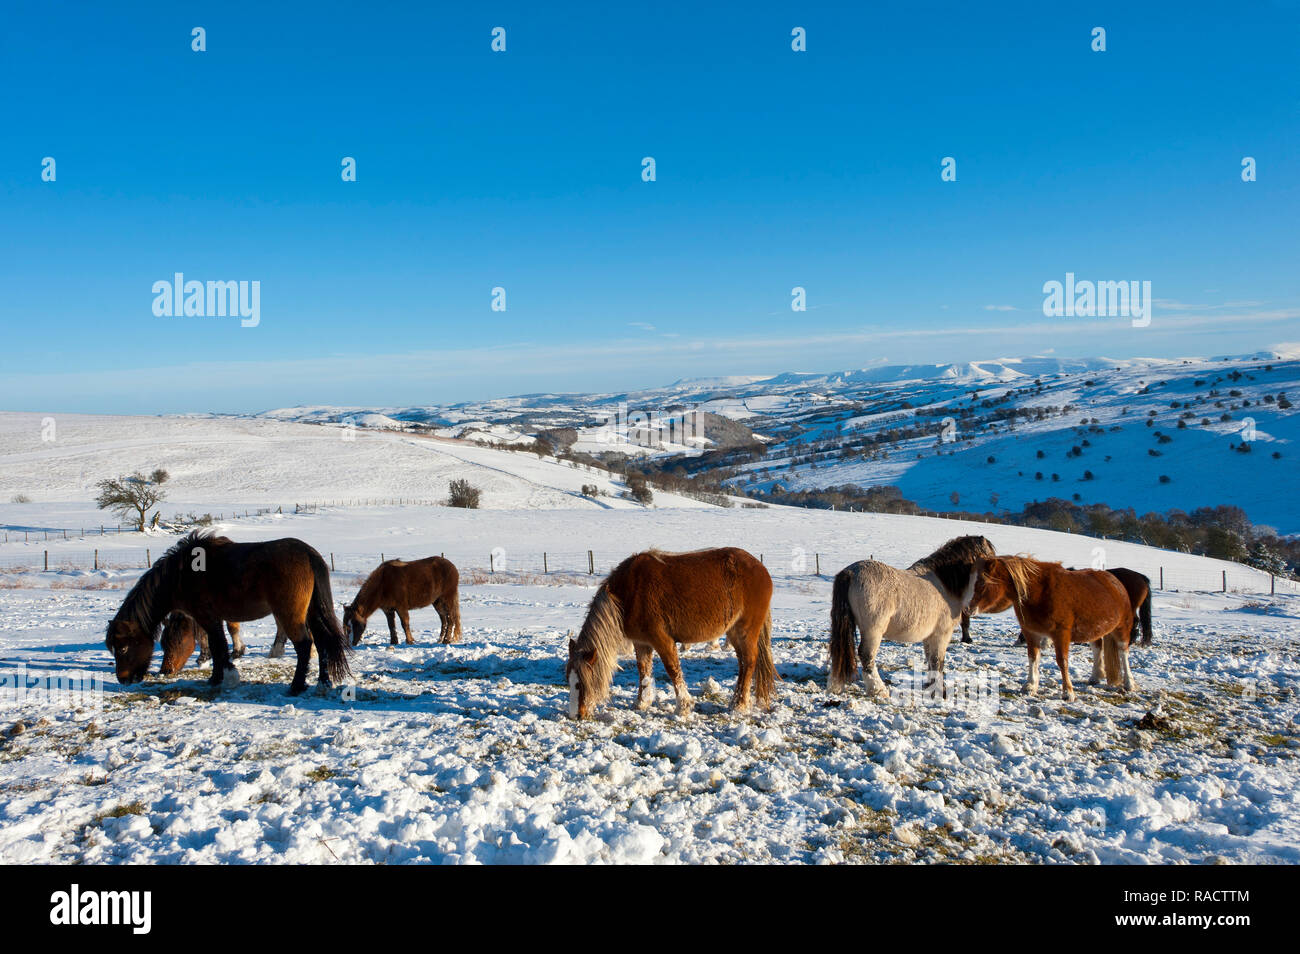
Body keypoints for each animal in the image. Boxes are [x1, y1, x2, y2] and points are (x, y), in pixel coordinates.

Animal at [106, 531, 351, 695]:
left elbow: (218, 646)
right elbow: (221, 643)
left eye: (123, 648)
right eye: (163, 642)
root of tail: (309, 555)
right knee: (322, 643)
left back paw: (296, 686)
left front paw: (220, 677)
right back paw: (323, 682)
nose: (123, 679)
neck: (181, 574)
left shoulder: (207, 616)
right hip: (311, 613)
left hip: (290, 615)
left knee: (304, 645)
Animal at [566, 547, 774, 719]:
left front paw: (683, 706)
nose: (576, 715)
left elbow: (673, 669)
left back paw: (739, 705)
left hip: (745, 630)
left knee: (749, 661)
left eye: (580, 684)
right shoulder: (641, 642)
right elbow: (643, 670)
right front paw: (642, 702)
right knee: (742, 663)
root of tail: (760, 568)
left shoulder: (662, 639)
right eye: (569, 681)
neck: (629, 593)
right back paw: (735, 701)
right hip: (733, 632)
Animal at [827, 535, 990, 699]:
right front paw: (940, 690)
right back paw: (879, 690)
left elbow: (930, 659)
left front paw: (930, 685)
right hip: (873, 631)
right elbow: (937, 661)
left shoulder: (930, 635)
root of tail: (850, 572)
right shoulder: (942, 634)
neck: (943, 584)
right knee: (866, 656)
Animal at [973, 556, 1135, 701]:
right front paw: (1031, 686)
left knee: (1123, 653)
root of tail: (1116, 582)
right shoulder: (1031, 633)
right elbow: (1033, 657)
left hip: (1122, 628)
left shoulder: (1061, 634)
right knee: (1097, 648)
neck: (1038, 592)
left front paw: (1068, 693)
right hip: (1094, 630)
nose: (970, 609)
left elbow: (1062, 661)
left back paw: (1129, 683)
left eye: (982, 584)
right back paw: (1095, 676)